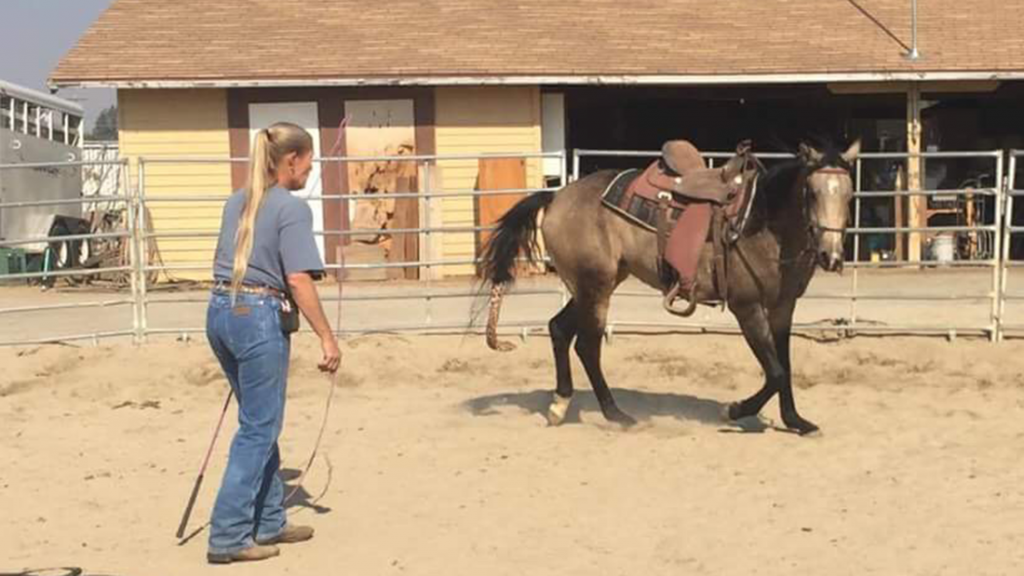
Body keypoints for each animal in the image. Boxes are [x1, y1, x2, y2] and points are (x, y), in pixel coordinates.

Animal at [477, 140, 860, 436]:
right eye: (812, 192)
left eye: (849, 195)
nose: (831, 255)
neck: (761, 222)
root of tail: (557, 196)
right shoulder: (747, 307)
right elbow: (776, 372)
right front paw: (735, 410)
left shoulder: (783, 307)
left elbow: (785, 366)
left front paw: (795, 420)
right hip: (595, 287)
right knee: (587, 346)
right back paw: (617, 414)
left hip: (594, 285)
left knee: (559, 329)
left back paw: (560, 405)